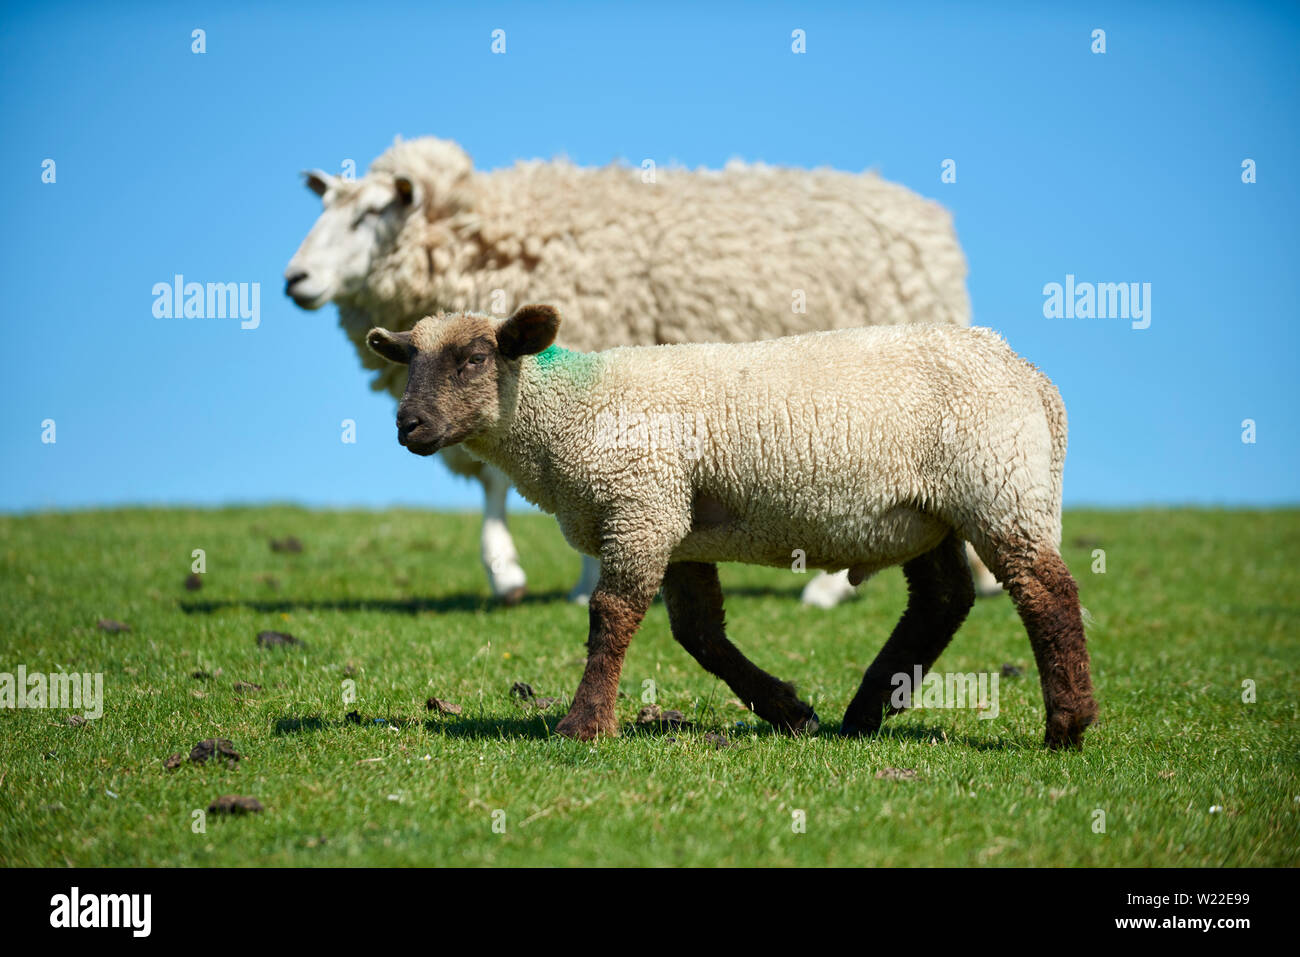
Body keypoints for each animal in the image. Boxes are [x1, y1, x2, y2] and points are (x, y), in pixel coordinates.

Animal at [284, 136, 999, 607]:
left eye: (369, 215)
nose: (295, 280)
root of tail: (926, 218)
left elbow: (507, 476)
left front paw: (530, 576)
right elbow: (497, 477)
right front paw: (524, 573)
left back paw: (828, 589)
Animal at [364, 305, 1098, 750]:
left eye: (474, 359)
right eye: (410, 361)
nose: (408, 426)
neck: (572, 410)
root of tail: (1035, 380)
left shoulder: (641, 505)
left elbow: (612, 615)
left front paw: (584, 724)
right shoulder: (676, 522)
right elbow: (699, 633)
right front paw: (789, 710)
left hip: (997, 484)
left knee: (1047, 592)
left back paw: (1068, 722)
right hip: (931, 512)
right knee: (943, 600)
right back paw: (865, 711)